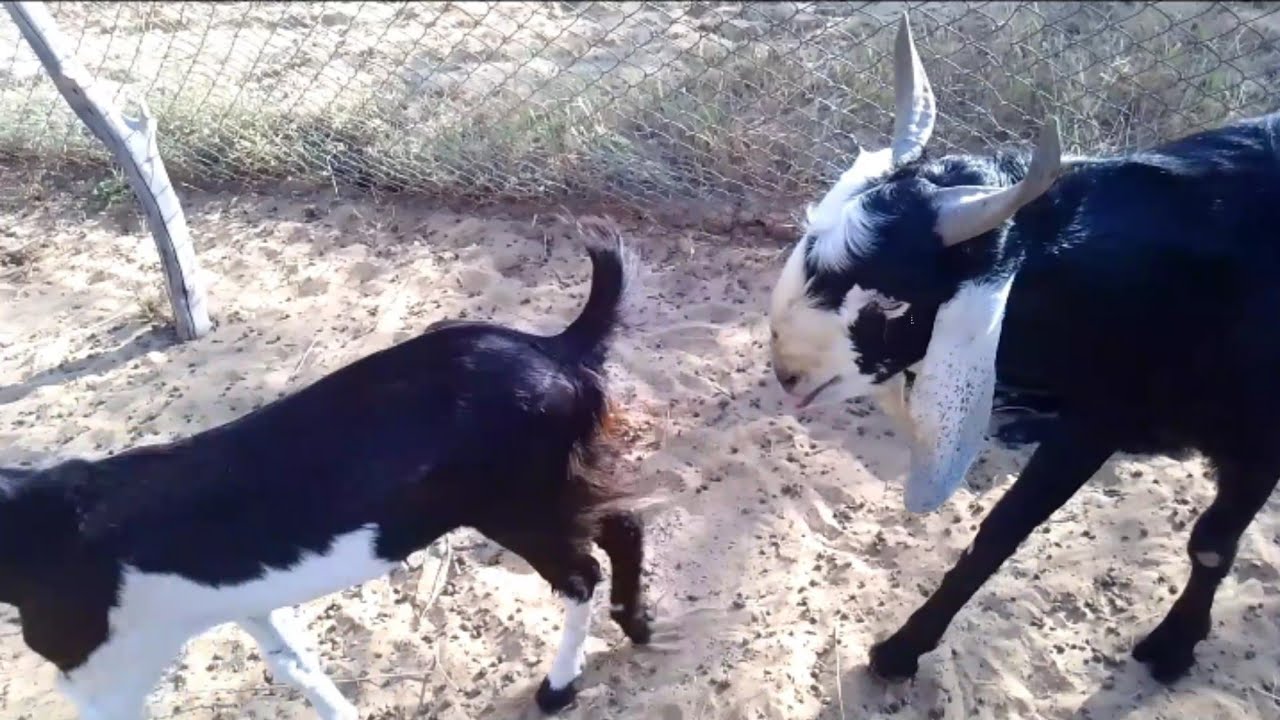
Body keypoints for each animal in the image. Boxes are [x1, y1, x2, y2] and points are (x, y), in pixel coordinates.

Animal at [0, 231, 653, 718]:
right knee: (622, 526)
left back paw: (557, 689)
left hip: (518, 503)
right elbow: (293, 664)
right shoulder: (247, 605)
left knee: (580, 574)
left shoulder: (106, 667)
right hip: (555, 484)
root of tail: (558, 348)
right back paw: (637, 627)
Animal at [768, 11, 1280, 687]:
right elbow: (1002, 530)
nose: (787, 374)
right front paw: (903, 649)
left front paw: (1172, 648)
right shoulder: (1100, 412)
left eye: (894, 302)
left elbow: (1213, 544)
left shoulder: (1255, 441)